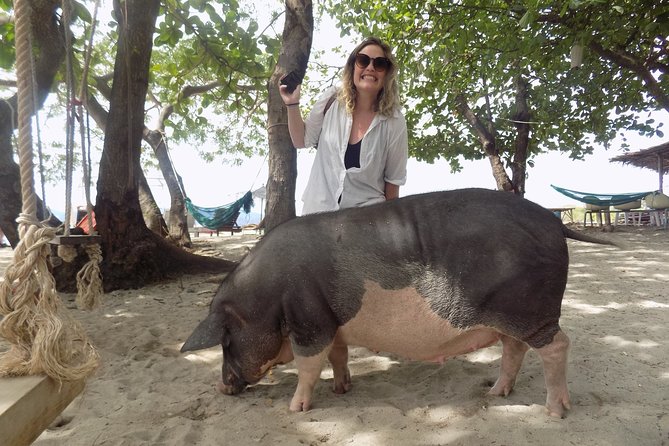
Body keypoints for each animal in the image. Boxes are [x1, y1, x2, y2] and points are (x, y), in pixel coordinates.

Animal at [181, 188, 614, 418]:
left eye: (225, 340)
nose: (222, 387)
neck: (264, 297)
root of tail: (554, 221)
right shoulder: (333, 322)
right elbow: (338, 356)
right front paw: (341, 389)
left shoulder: (310, 321)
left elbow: (308, 366)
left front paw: (296, 409)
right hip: (505, 316)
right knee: (515, 348)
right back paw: (495, 394)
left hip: (531, 310)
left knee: (558, 345)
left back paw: (554, 411)